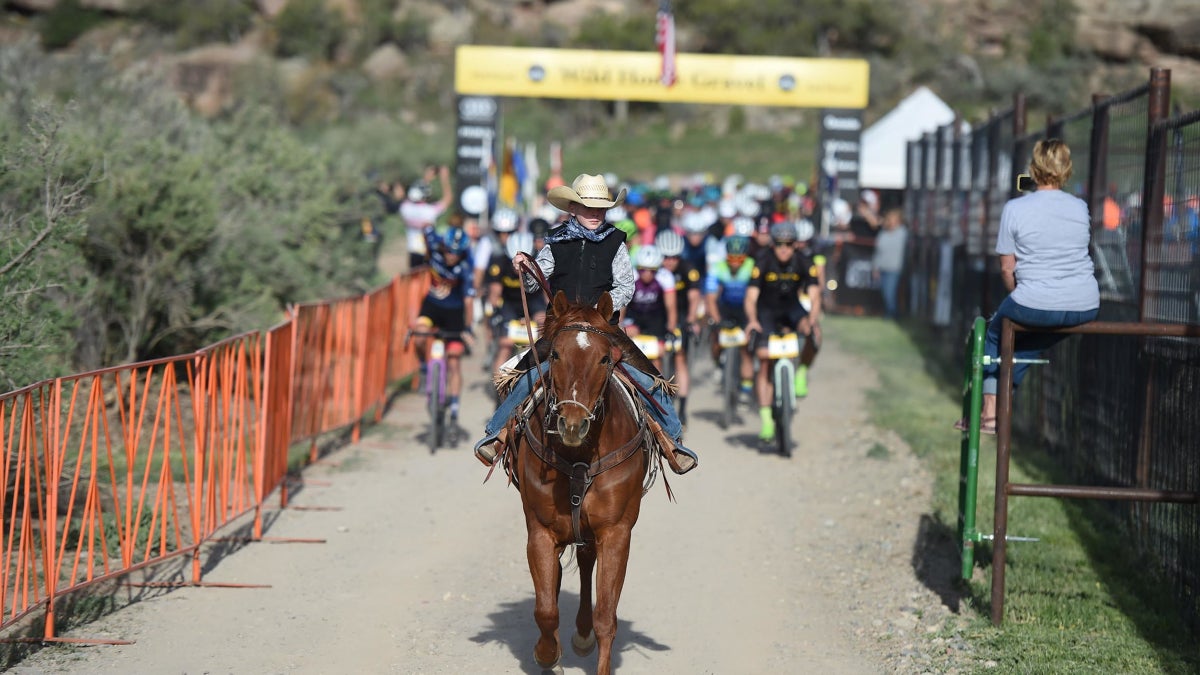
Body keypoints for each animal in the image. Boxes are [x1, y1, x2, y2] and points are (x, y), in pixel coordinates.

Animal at [506, 290, 651, 675]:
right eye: (555, 354)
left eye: (604, 358)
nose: (572, 423)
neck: (579, 456)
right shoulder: (540, 531)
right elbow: (545, 608)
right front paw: (547, 656)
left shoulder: (616, 532)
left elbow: (606, 617)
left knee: (586, 563)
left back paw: (582, 635)